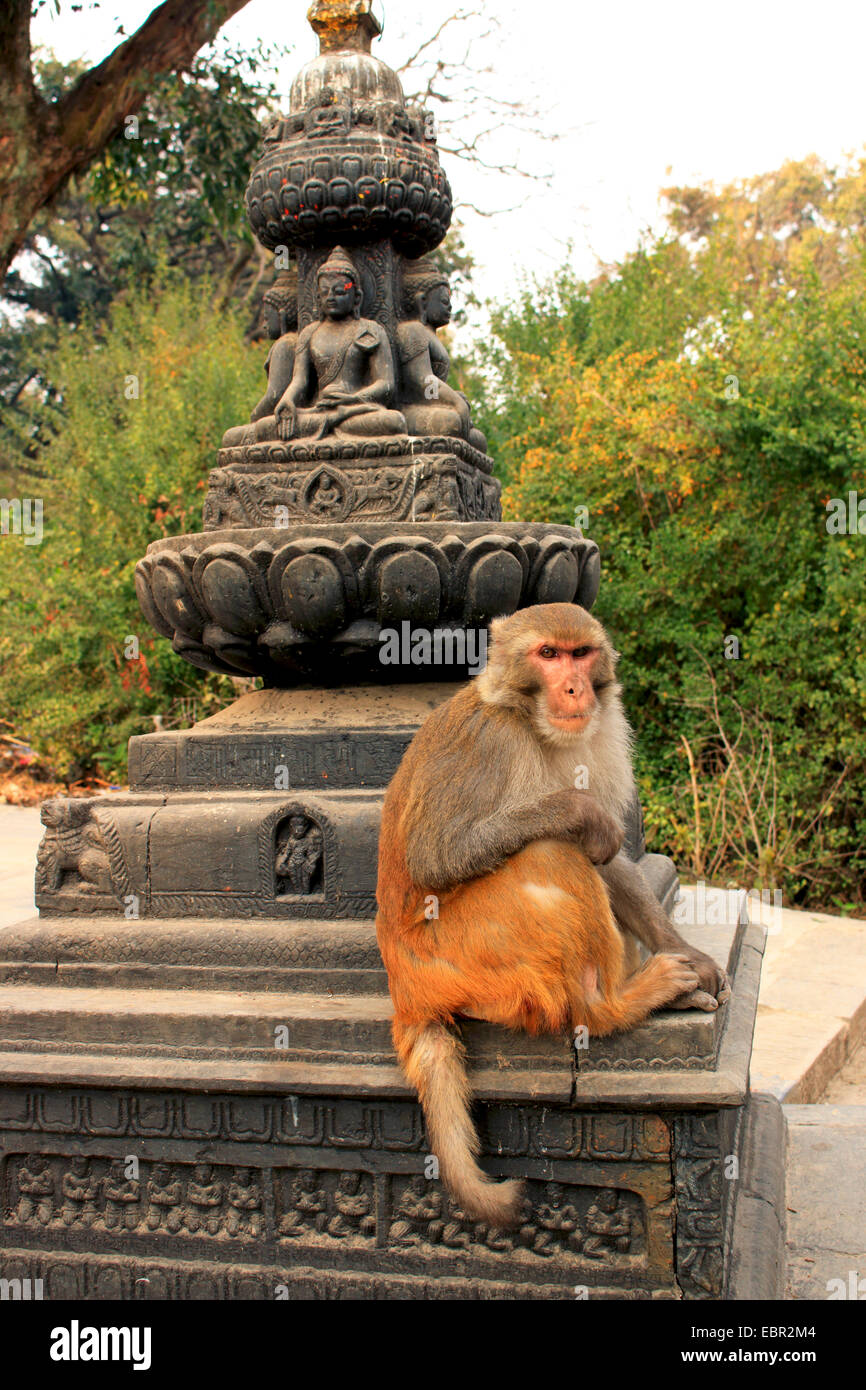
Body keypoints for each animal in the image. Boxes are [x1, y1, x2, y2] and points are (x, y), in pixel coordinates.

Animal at [375, 603, 730, 1228]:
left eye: (580, 653)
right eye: (547, 654)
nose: (573, 687)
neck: (532, 723)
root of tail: (405, 989)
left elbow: (611, 863)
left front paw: (689, 952)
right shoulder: (491, 743)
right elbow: (435, 856)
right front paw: (577, 810)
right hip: (467, 955)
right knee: (549, 850)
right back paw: (615, 1002)